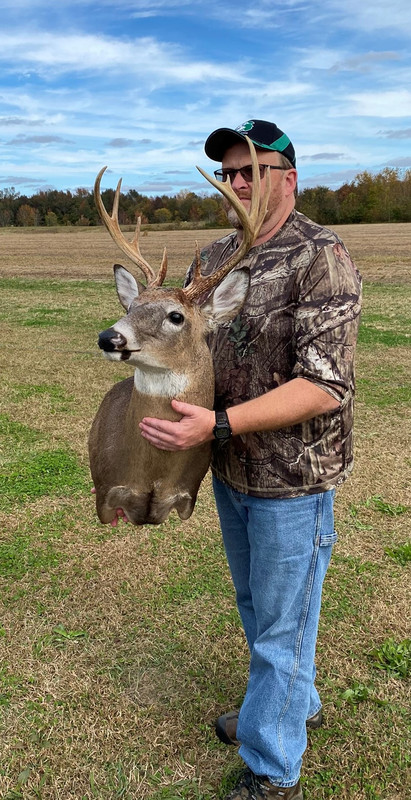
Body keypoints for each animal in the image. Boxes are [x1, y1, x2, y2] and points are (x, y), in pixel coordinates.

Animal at [89, 138, 271, 526]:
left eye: (176, 316)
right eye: (131, 307)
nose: (108, 337)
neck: (153, 474)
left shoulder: (185, 499)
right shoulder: (106, 498)